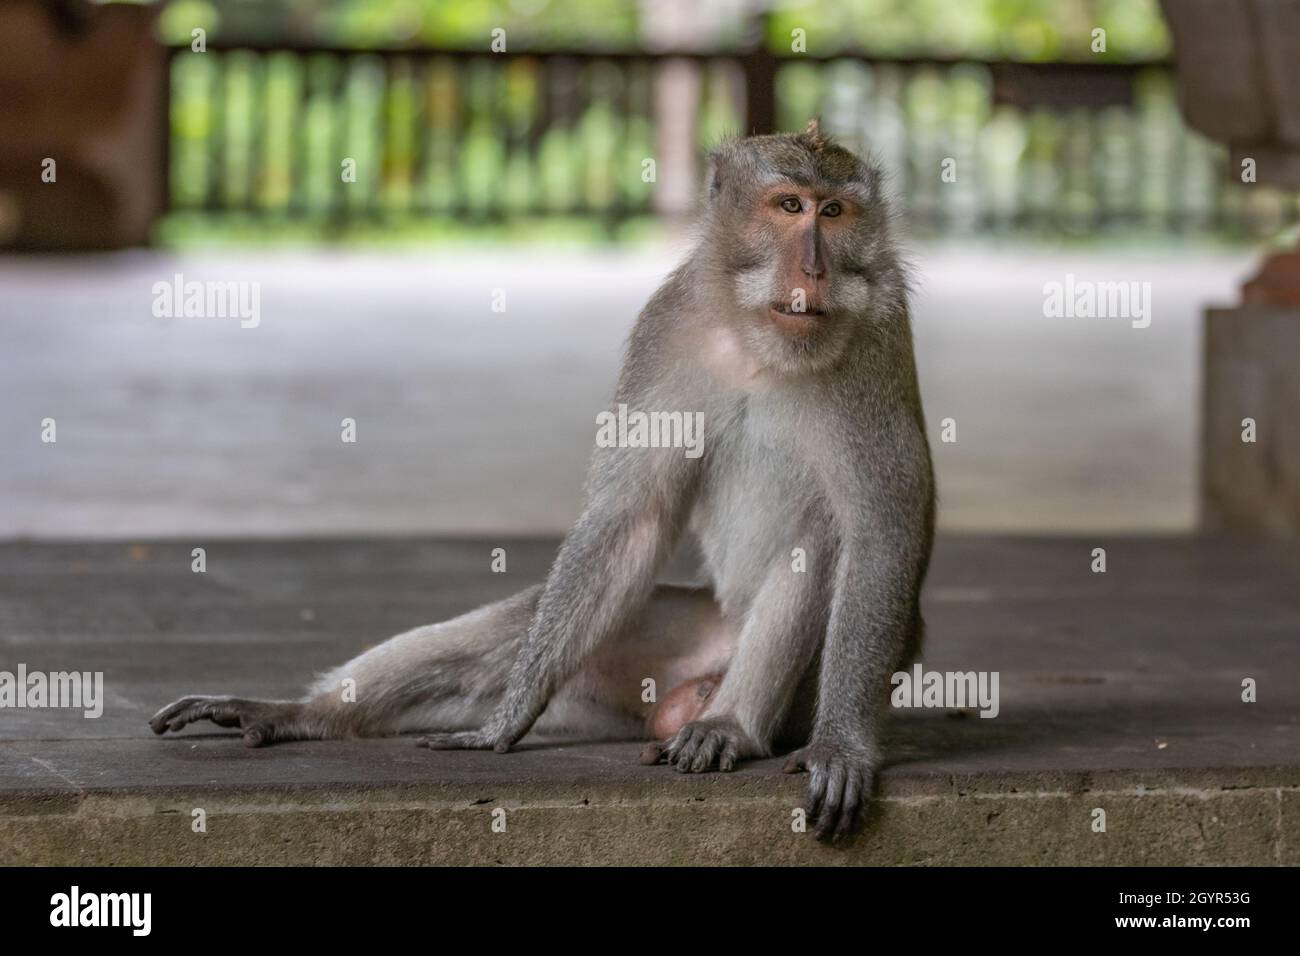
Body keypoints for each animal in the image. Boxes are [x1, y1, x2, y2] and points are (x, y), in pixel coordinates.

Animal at [150, 120, 935, 843]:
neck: (760, 341)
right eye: (790, 205)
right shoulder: (669, 325)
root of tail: (700, 680)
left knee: (825, 538)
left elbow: (881, 536)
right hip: (666, 643)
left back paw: (731, 725)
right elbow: (630, 519)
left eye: (835, 212)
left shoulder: (876, 339)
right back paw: (305, 715)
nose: (816, 268)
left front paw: (842, 746)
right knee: (526, 616)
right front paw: (509, 715)